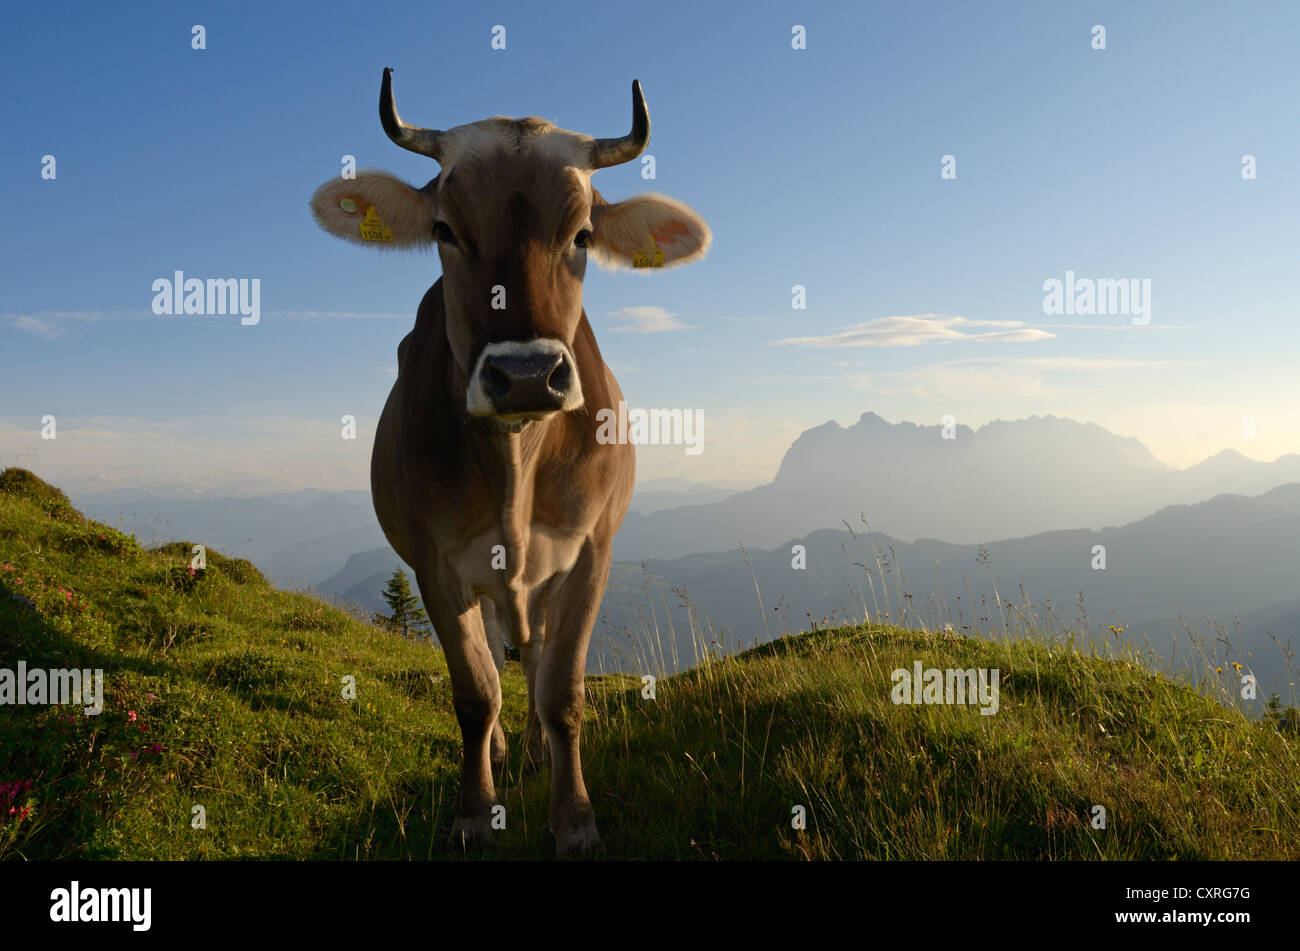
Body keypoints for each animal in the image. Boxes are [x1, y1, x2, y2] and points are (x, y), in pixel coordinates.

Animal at [310, 69, 710, 856]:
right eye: (444, 230)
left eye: (583, 234)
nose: (525, 375)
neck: (517, 470)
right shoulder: (434, 562)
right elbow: (473, 689)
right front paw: (473, 810)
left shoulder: (590, 551)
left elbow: (562, 691)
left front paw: (574, 817)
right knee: (499, 661)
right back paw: (498, 750)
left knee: (536, 654)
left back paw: (527, 749)